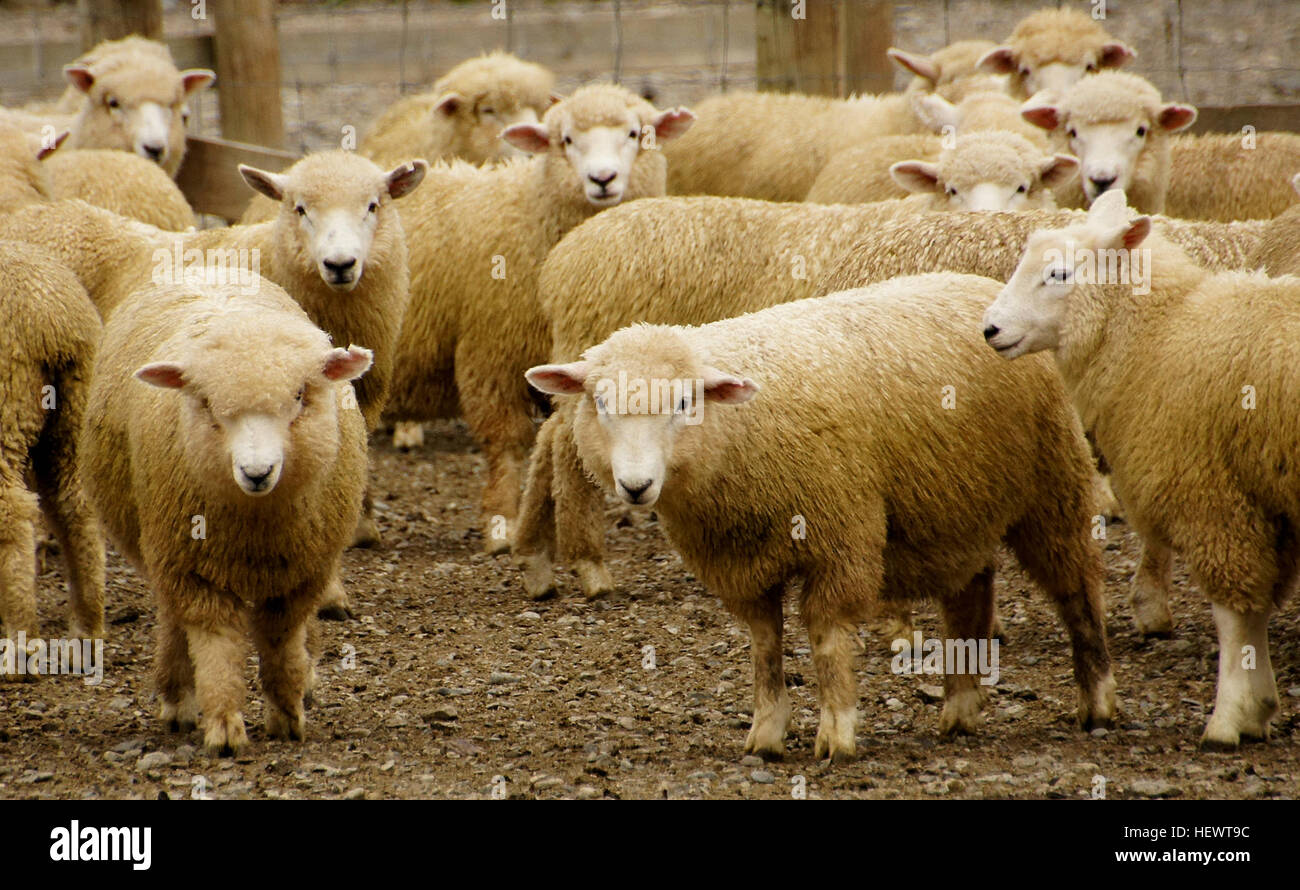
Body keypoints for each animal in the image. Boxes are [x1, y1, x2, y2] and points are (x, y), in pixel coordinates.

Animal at [81, 275, 372, 753]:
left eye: (299, 396)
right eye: (207, 404)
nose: (257, 472)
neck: (256, 524)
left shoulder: (304, 569)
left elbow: (280, 636)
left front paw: (288, 713)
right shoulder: (194, 566)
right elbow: (215, 642)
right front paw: (223, 727)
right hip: (161, 541)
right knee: (174, 616)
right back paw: (178, 699)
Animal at [382, 83, 695, 555]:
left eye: (635, 133)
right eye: (565, 140)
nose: (602, 179)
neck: (531, 212)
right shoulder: (492, 349)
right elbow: (508, 442)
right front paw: (502, 525)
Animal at [525, 275, 1116, 759]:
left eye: (686, 403)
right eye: (600, 403)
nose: (636, 485)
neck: (738, 437)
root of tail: (978, 288)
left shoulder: (841, 537)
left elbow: (828, 642)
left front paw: (836, 733)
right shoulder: (739, 563)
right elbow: (765, 644)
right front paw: (766, 733)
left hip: (1052, 483)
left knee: (1077, 589)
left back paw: (1098, 702)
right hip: (955, 505)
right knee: (969, 597)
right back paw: (961, 710)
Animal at [982, 189, 1300, 748]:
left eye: (1059, 273)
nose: (989, 329)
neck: (1160, 333)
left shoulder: (1211, 496)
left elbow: (1235, 614)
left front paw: (1229, 717)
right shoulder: (1260, 499)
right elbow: (1255, 610)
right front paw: (1260, 706)